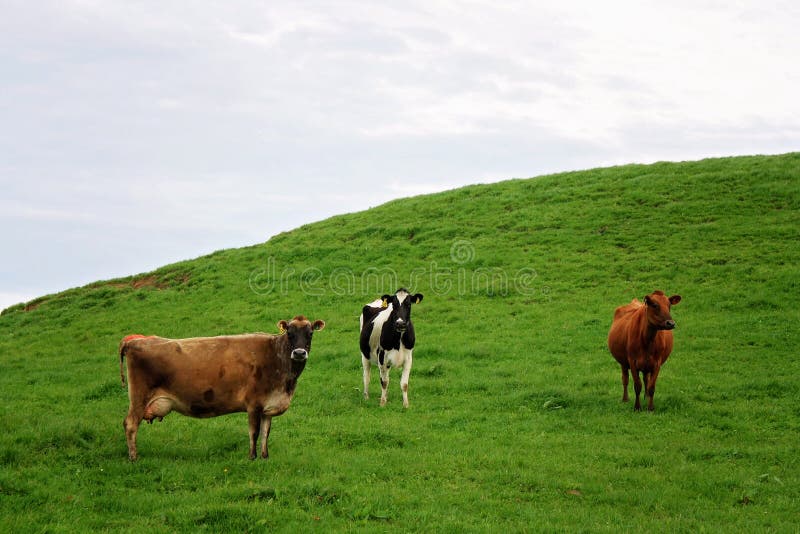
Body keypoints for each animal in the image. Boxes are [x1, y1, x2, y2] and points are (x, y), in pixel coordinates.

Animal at [119, 316, 325, 461]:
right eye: (289, 333)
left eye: (310, 333)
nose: (299, 353)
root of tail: (134, 340)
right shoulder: (254, 403)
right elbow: (254, 432)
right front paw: (252, 458)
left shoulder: (269, 405)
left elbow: (266, 433)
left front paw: (265, 457)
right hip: (139, 397)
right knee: (130, 424)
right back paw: (133, 458)